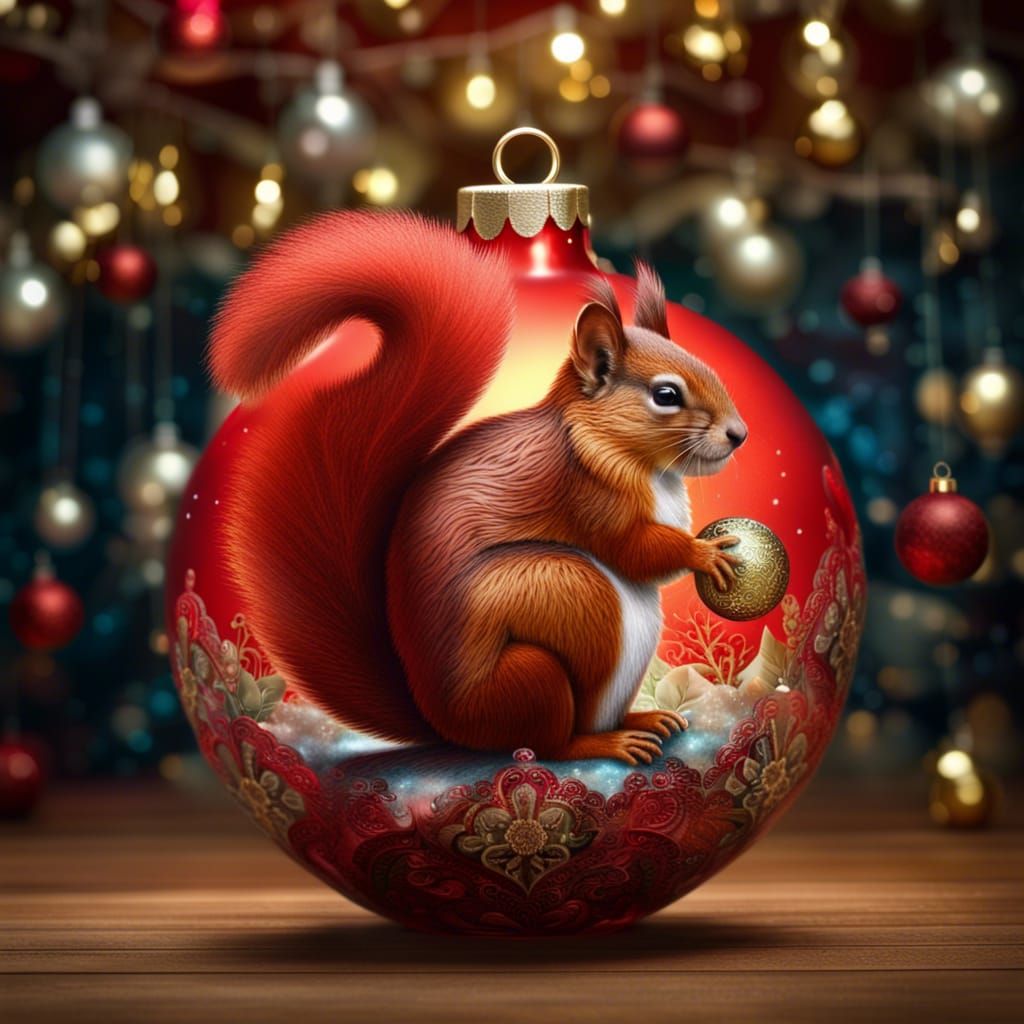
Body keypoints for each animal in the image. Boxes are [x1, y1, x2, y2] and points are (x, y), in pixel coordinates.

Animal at [211, 211, 747, 766]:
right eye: (666, 395)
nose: (739, 434)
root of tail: (446, 724)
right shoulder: (585, 494)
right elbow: (635, 550)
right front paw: (705, 553)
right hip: (549, 635)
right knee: (551, 743)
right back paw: (609, 741)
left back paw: (644, 719)